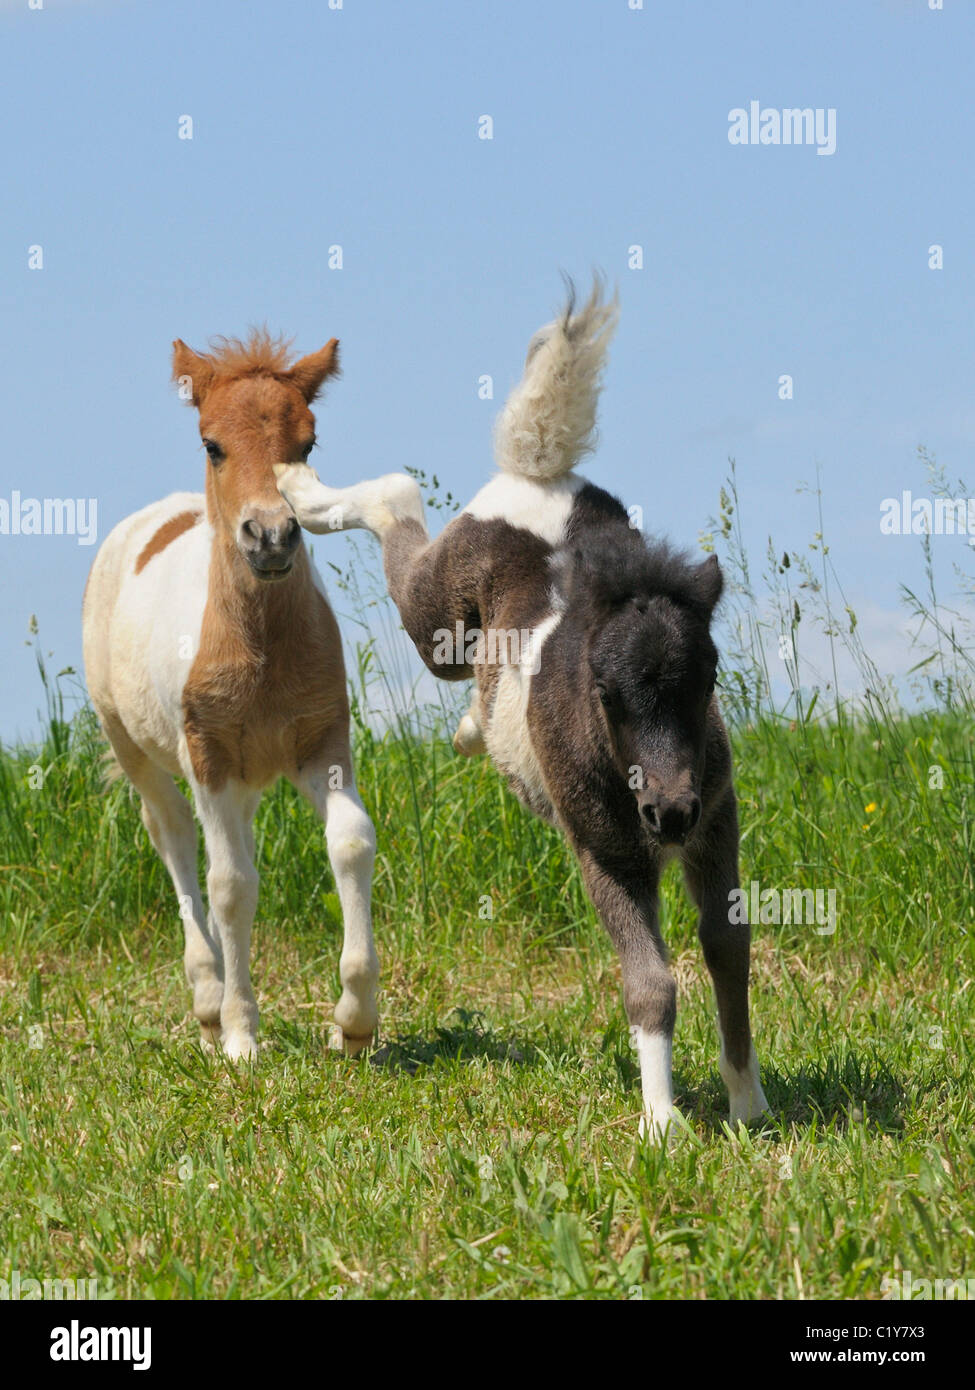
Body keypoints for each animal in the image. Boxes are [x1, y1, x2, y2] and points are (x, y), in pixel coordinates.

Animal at [82, 330, 379, 1061]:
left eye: (308, 443)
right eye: (212, 444)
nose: (270, 534)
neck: (259, 645)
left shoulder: (321, 741)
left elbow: (351, 843)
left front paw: (354, 1021)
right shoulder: (208, 754)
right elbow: (229, 884)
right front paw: (243, 1034)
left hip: (247, 772)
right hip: (137, 749)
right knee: (175, 839)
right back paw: (209, 1001)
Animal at [275, 283, 769, 1142]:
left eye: (708, 677)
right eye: (604, 693)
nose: (668, 811)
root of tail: (538, 476)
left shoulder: (716, 825)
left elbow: (725, 947)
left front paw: (748, 1102)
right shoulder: (607, 853)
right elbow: (650, 981)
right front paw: (662, 1122)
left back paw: (473, 730)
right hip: (435, 620)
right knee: (397, 500)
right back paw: (297, 488)